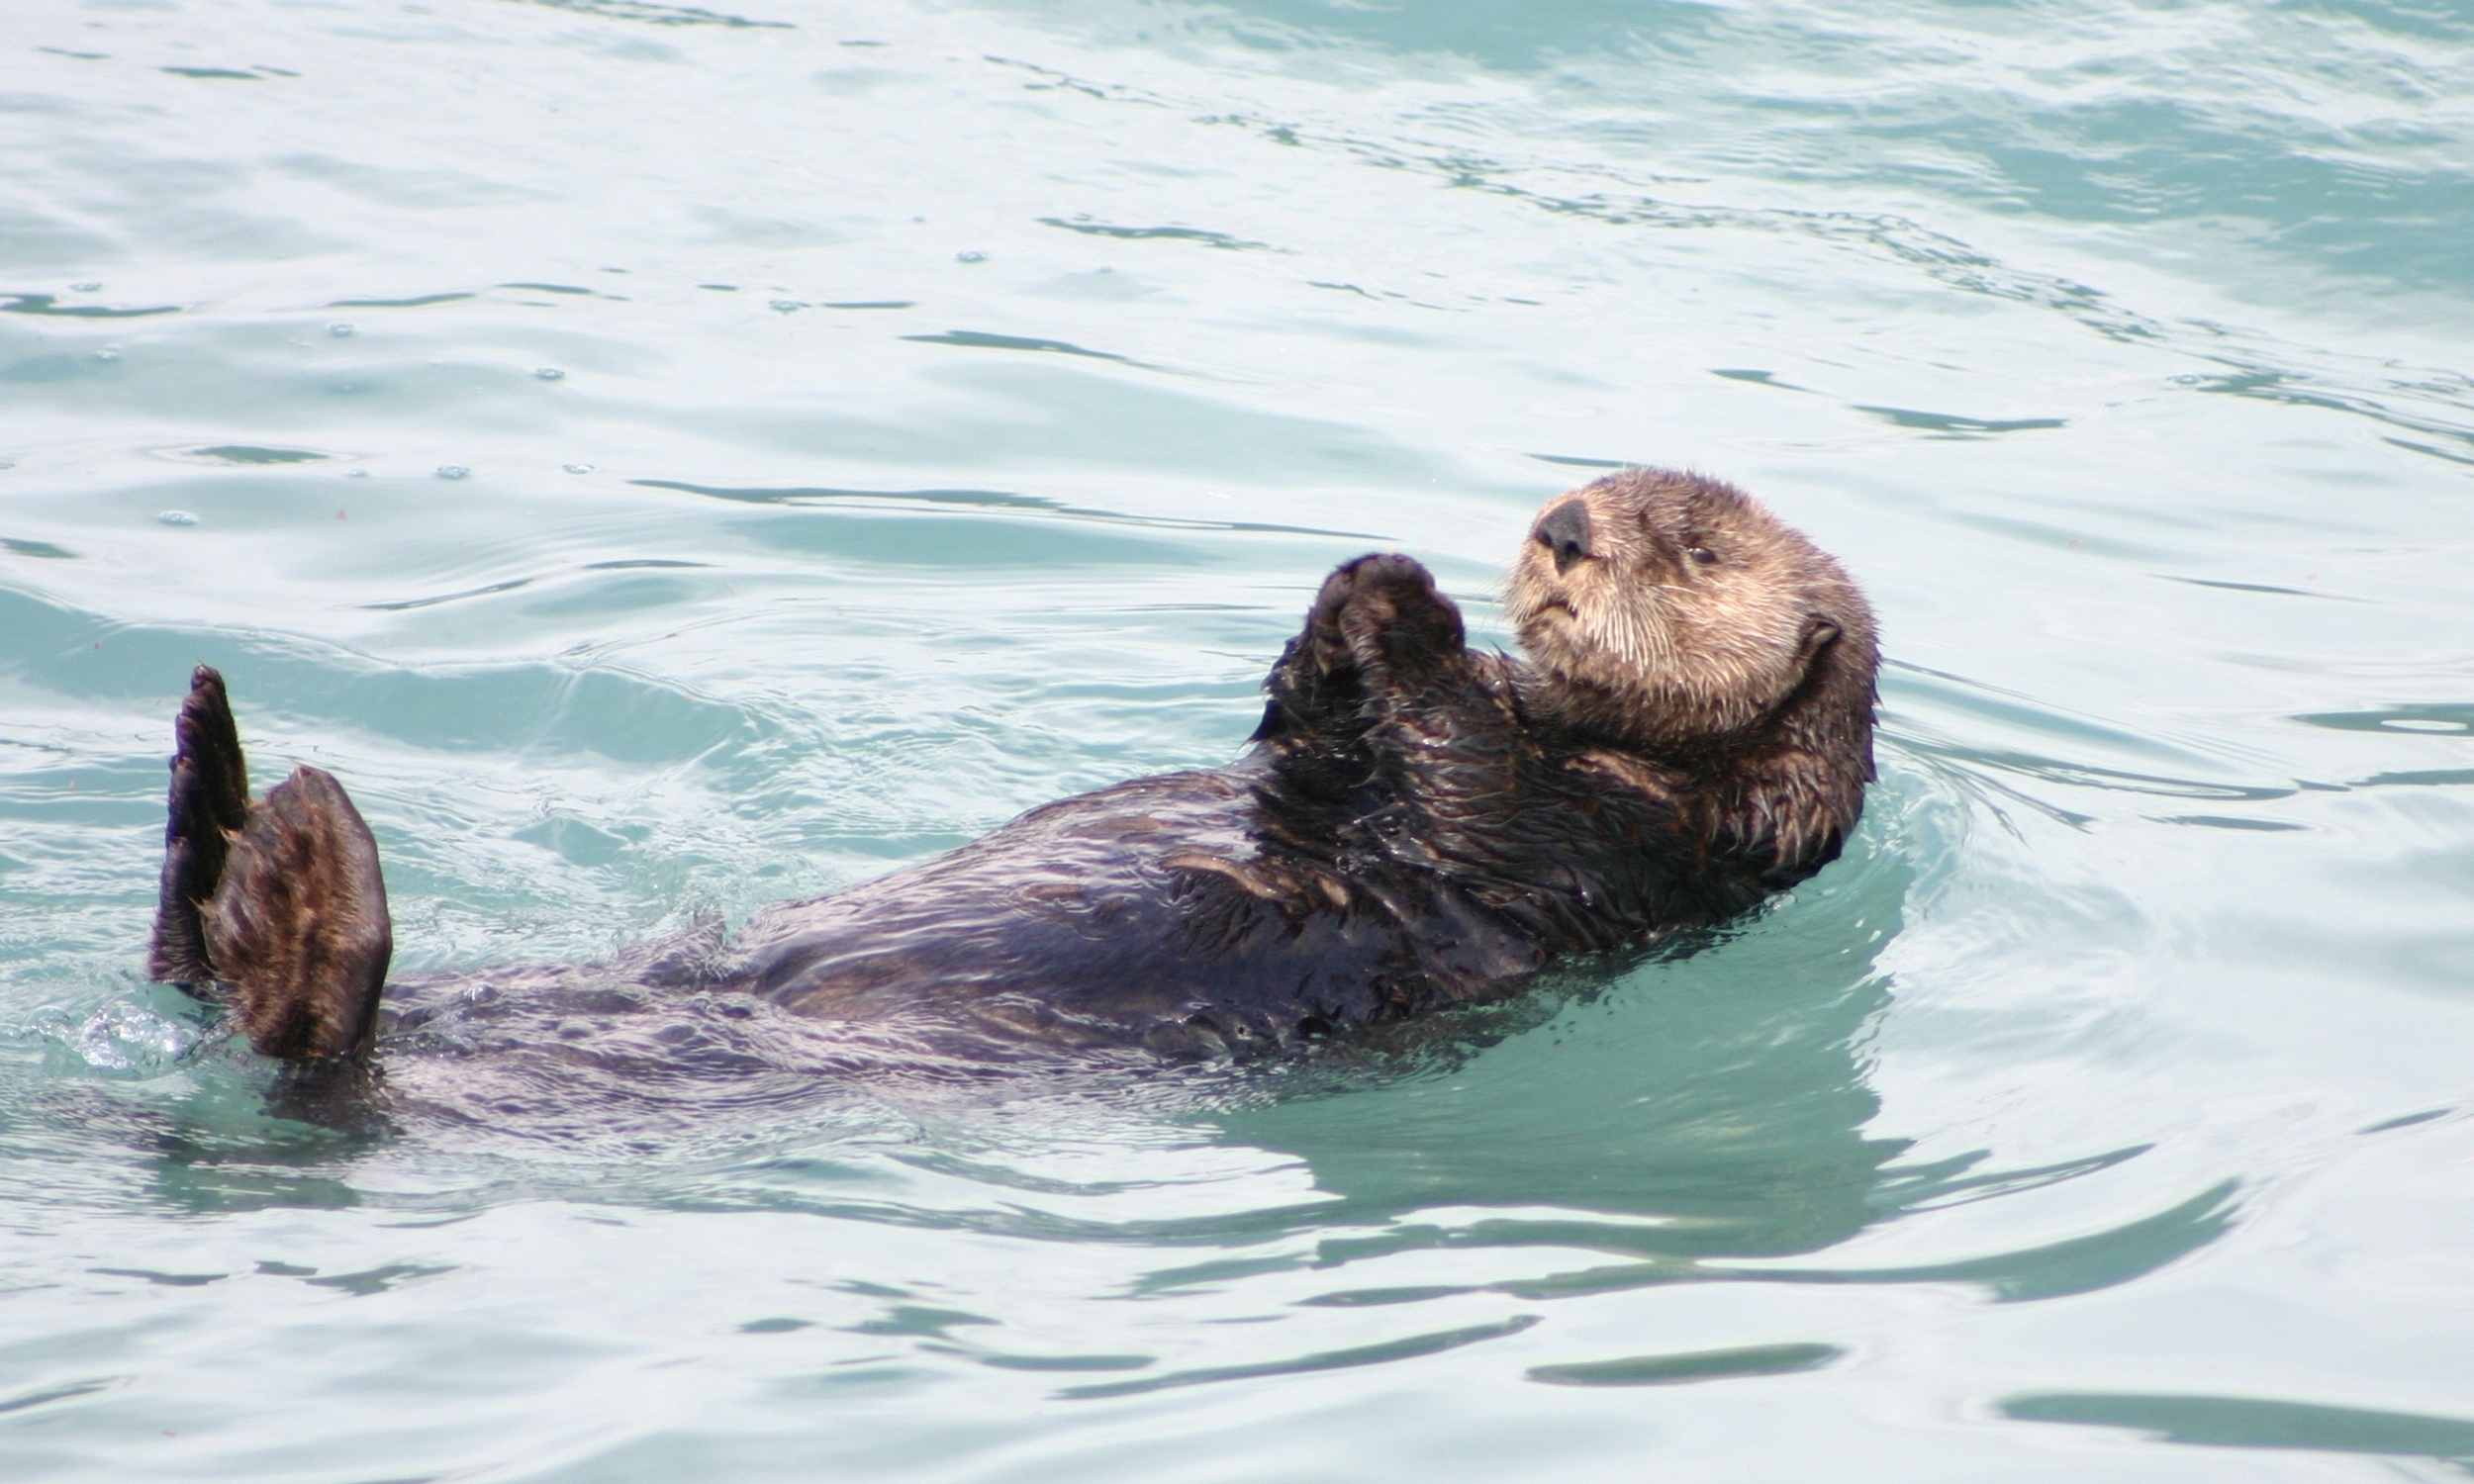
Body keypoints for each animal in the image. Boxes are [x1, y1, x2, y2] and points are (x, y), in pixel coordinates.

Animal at [145, 469, 1879, 1068]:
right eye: (1591, 483)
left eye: (1699, 547)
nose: (1563, 528)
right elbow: (1309, 747)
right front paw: (1349, 612)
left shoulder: (1631, 846)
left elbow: (1458, 782)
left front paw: (1399, 605)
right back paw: (217, 804)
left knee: (320, 1054)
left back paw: (291, 882)